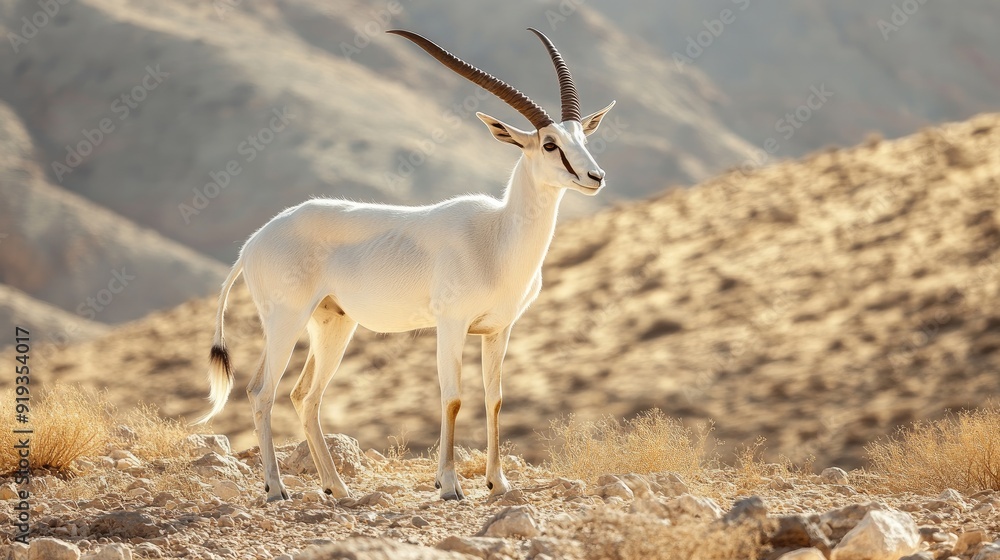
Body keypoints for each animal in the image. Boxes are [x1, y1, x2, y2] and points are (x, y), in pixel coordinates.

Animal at [197, 27, 615, 502]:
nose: (596, 177)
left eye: (583, 140)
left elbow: (494, 398)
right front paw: (449, 485)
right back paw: (276, 489)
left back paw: (338, 488)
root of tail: (252, 244)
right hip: (285, 321)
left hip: (332, 325)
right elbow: (453, 397)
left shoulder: (498, 330)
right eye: (549, 144)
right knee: (260, 391)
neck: (496, 237)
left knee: (305, 396)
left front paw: (498, 482)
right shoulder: (451, 325)